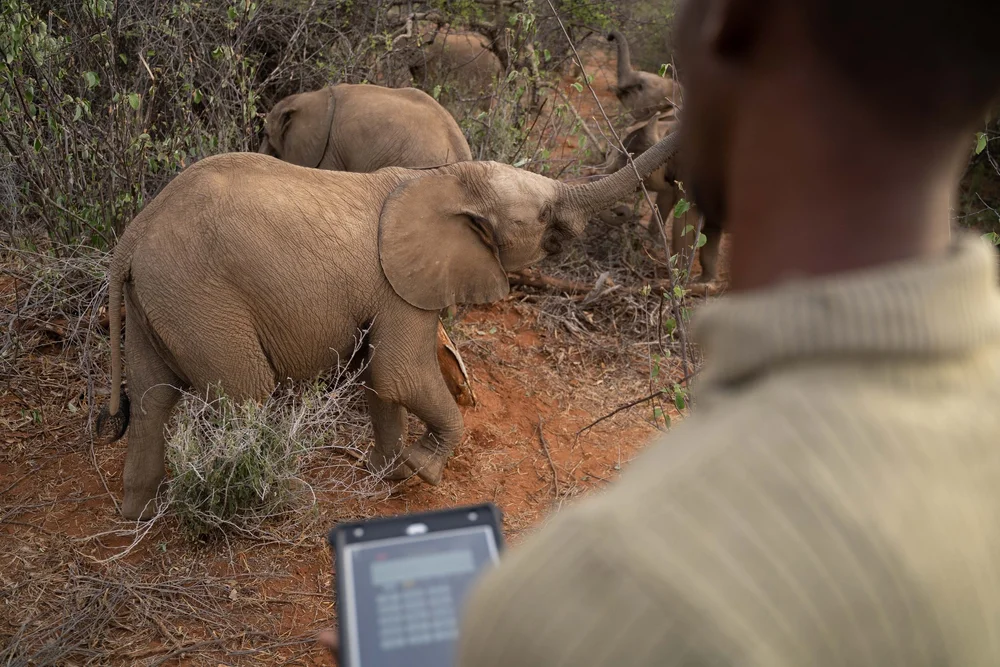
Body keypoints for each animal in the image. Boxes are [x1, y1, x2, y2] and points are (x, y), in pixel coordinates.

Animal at [94, 131, 681, 520]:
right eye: (540, 216)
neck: (445, 181)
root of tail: (135, 233)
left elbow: (377, 379)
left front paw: (389, 474)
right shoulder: (401, 286)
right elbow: (400, 374)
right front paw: (423, 470)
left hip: (161, 301)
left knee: (151, 398)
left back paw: (140, 514)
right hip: (201, 297)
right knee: (246, 393)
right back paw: (273, 502)